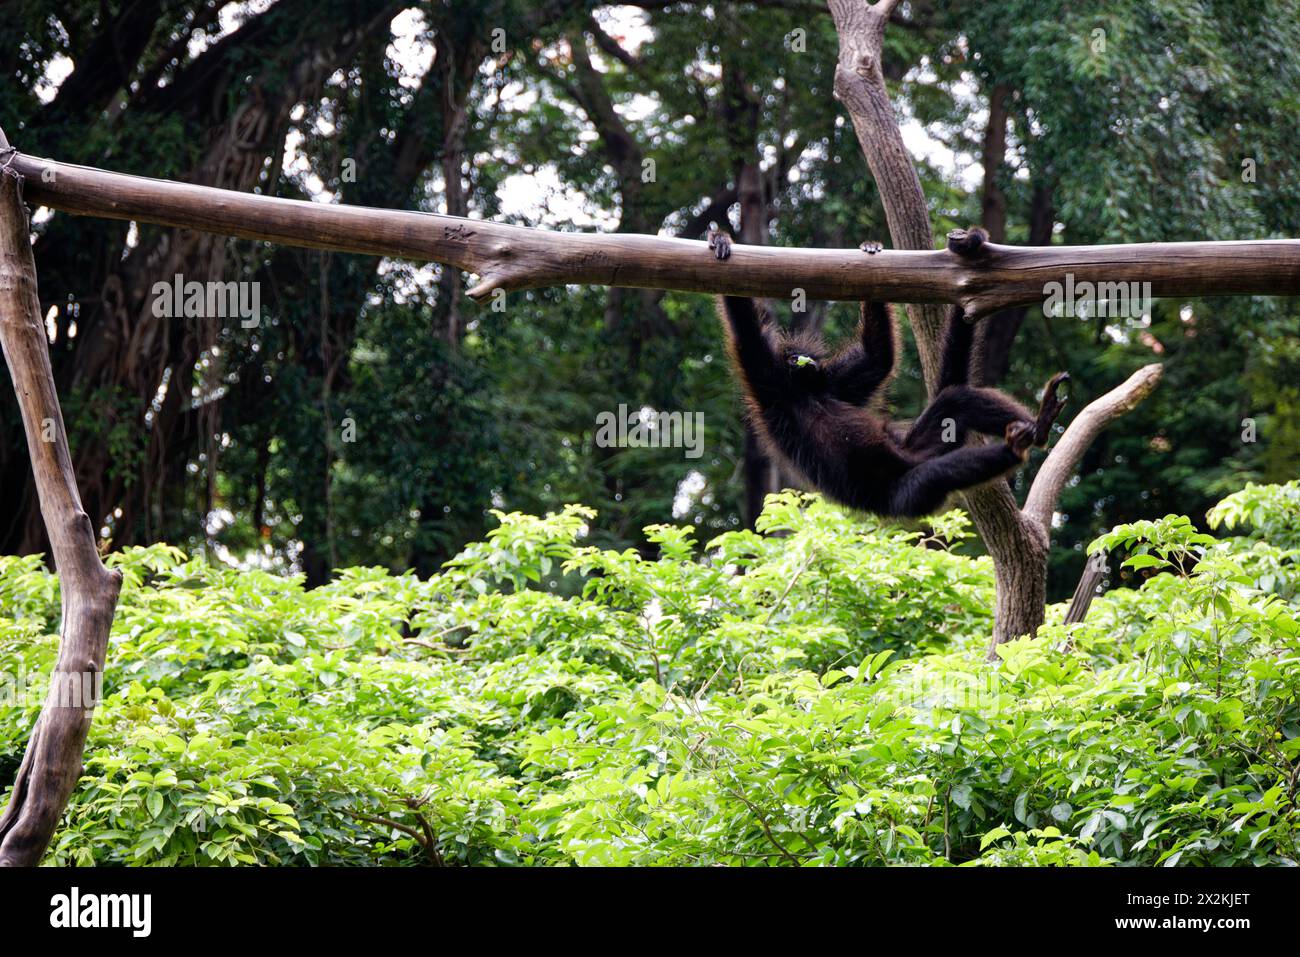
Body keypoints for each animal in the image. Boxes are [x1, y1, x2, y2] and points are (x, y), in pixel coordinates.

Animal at [707, 224, 1069, 519]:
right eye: (794, 357)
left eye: (804, 357)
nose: (805, 362)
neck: (805, 392)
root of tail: (907, 458)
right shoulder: (769, 379)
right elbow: (746, 331)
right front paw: (721, 241)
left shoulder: (832, 384)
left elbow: (879, 359)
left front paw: (871, 259)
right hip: (905, 493)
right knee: (935, 474)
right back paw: (1021, 443)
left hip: (920, 446)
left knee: (956, 401)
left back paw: (1038, 427)